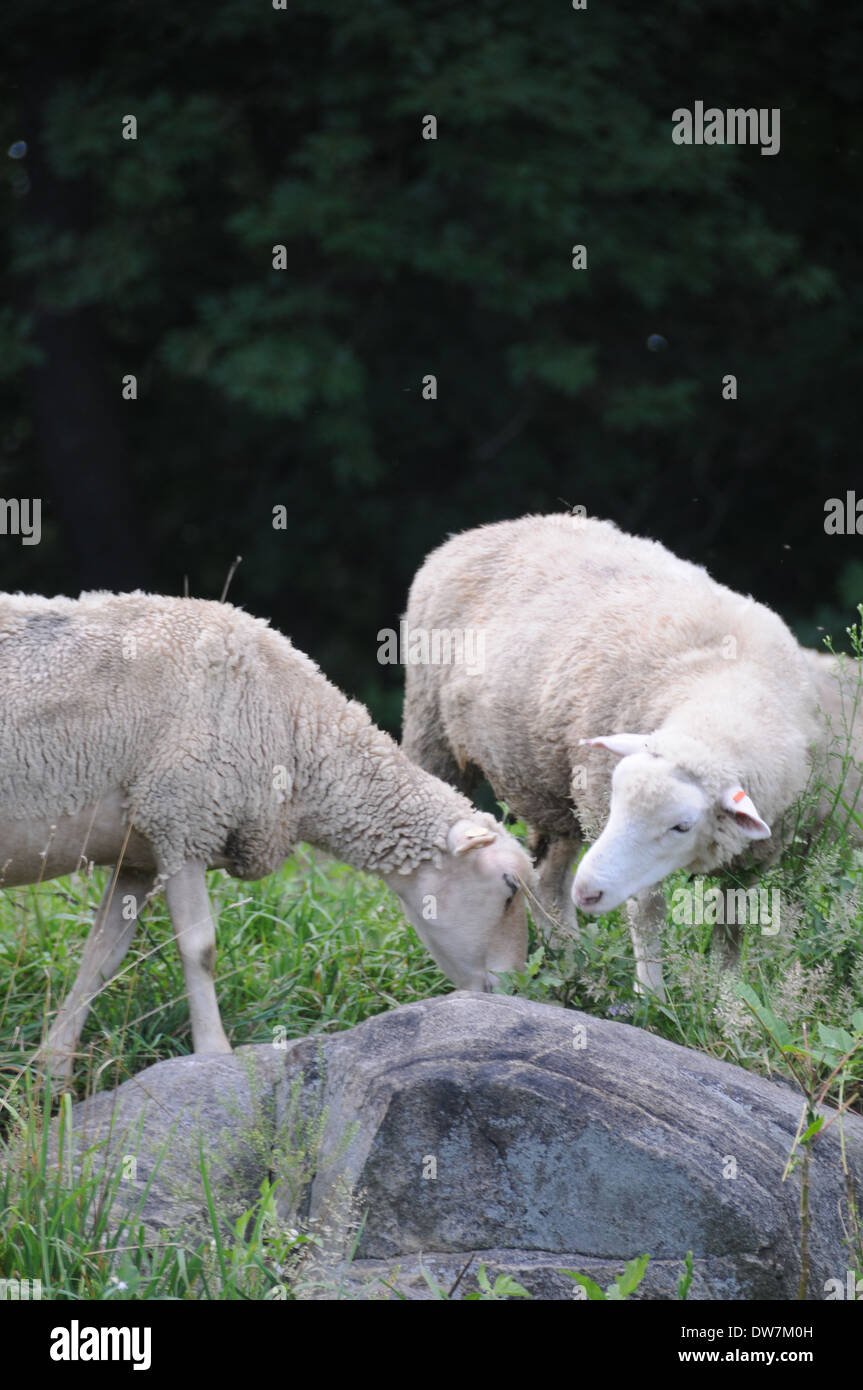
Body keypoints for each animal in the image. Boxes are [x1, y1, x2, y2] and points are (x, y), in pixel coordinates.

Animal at [0, 592, 534, 1082]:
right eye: (510, 890)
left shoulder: (142, 852)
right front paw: (213, 1055)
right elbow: (200, 949)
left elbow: (102, 957)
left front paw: (53, 1070)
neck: (296, 730)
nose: (514, 991)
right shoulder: (183, 823)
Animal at [402, 512, 824, 1001]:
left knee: (548, 878)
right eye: (618, 804)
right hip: (433, 731)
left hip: (549, 784)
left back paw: (567, 957)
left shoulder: (754, 858)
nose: (589, 892)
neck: (718, 703)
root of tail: (480, 532)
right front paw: (652, 998)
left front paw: (728, 995)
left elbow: (733, 924)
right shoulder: (600, 806)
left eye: (682, 826)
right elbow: (648, 909)